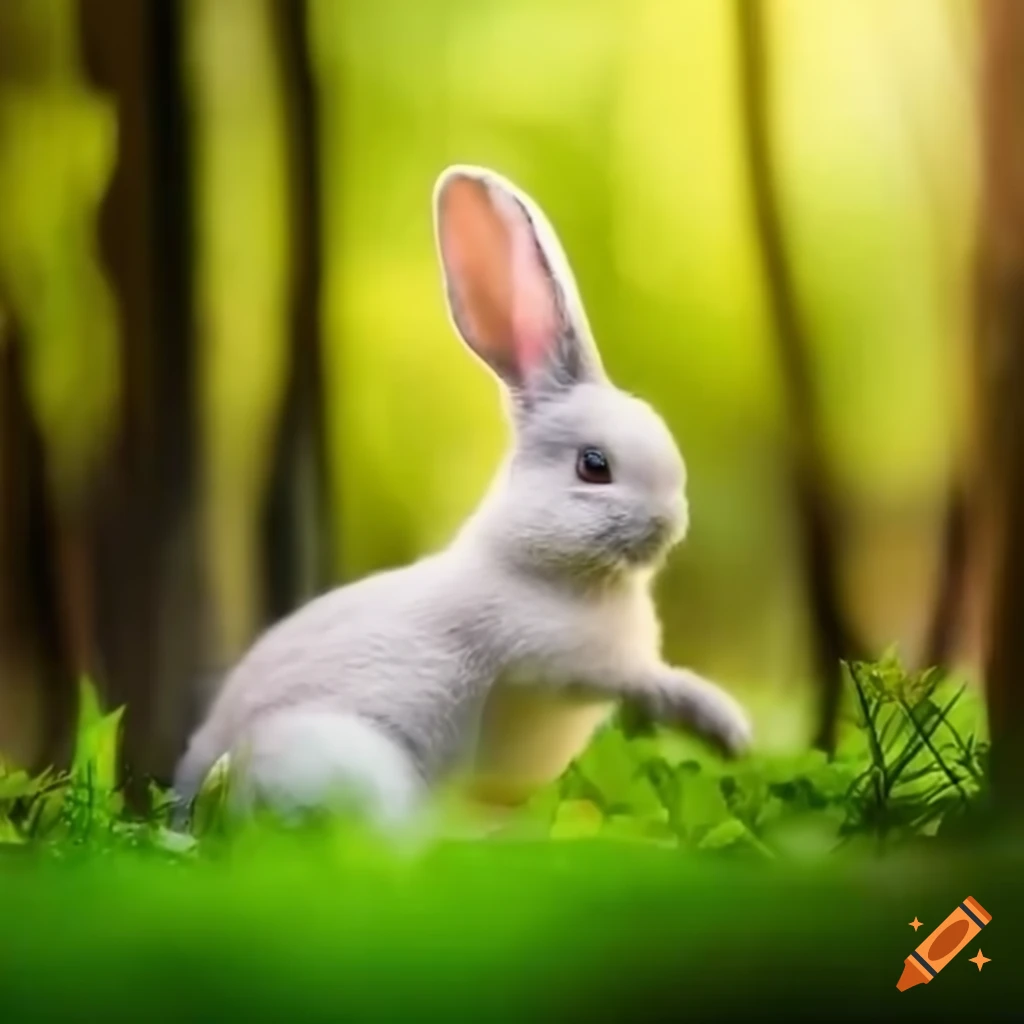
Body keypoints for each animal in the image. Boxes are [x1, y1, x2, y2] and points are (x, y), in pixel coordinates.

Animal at [171, 165, 752, 830]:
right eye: (594, 466)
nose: (670, 524)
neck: (549, 570)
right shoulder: (559, 662)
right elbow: (650, 685)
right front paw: (728, 728)